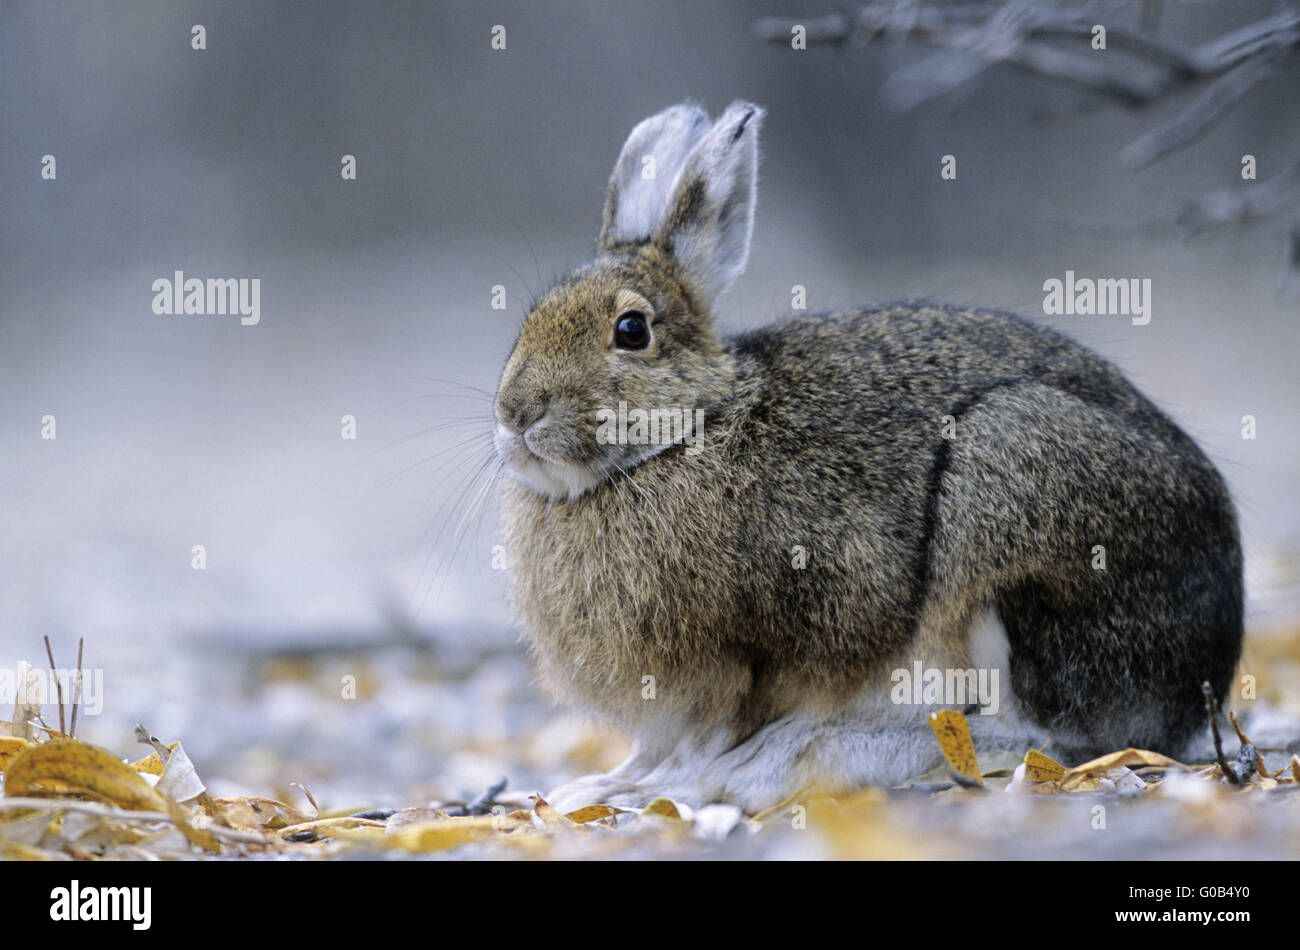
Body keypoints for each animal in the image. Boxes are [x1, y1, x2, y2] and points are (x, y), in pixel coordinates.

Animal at [492, 101, 1244, 814]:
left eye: (631, 330)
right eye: (529, 321)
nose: (516, 414)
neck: (692, 428)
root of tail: (1203, 672)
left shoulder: (754, 656)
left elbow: (708, 739)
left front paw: (673, 785)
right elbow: (651, 750)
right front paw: (598, 786)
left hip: (1006, 481)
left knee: (1031, 734)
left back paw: (782, 763)